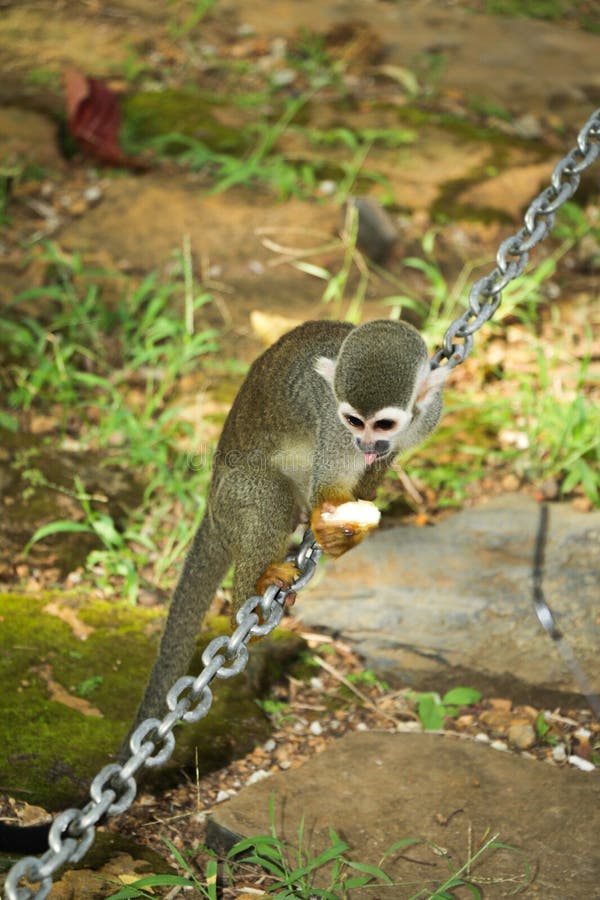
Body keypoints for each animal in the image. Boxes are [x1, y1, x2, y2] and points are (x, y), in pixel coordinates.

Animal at [125, 318, 448, 742]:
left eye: (384, 424)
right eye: (353, 421)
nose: (365, 444)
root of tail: (211, 503)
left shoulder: (428, 416)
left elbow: (384, 460)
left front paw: (369, 486)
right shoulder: (332, 425)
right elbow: (327, 492)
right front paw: (339, 529)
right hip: (234, 495)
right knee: (270, 500)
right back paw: (251, 596)